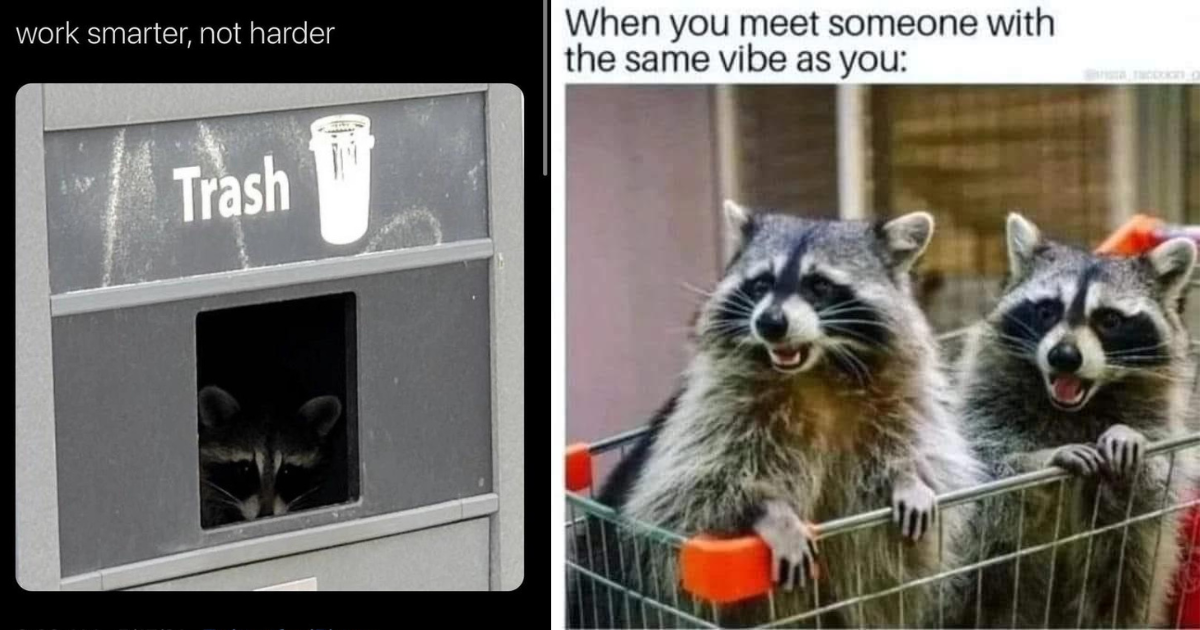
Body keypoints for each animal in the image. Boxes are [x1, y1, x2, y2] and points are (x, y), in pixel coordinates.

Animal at [568, 203, 984, 628]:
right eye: (760, 284)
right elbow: (696, 487)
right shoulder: (715, 411)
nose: (769, 323)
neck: (816, 372)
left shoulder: (898, 403)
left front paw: (906, 476)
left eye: (819, 285)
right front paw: (771, 512)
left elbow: (909, 469)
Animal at [953, 213, 1198, 628]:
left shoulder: (1158, 418)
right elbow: (988, 468)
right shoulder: (982, 409)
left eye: (1110, 320)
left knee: (1119, 591)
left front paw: (1126, 435)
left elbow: (1157, 476)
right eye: (1047, 310)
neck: (1073, 410)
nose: (1063, 357)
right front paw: (1041, 459)